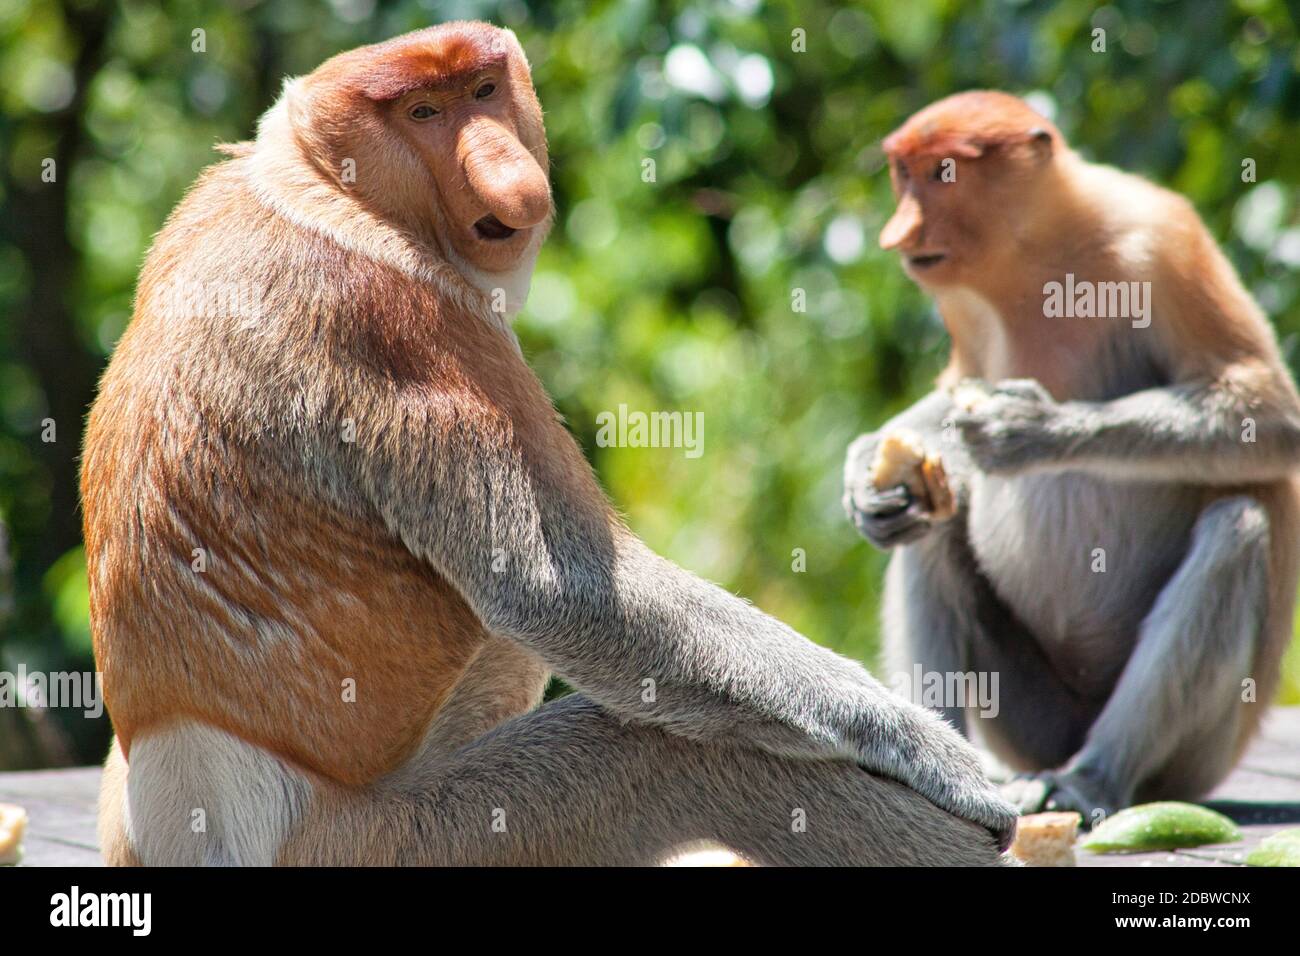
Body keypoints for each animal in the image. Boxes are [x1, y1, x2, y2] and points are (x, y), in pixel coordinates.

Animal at [82, 24, 1017, 867]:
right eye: (423, 112)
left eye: (483, 91)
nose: (505, 167)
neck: (313, 184)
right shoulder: (405, 320)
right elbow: (560, 592)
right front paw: (934, 754)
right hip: (382, 843)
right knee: (673, 755)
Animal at [844, 90, 1300, 821]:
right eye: (901, 173)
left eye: (943, 173)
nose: (898, 235)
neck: (1036, 249)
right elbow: (956, 389)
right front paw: (867, 479)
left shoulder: (1164, 240)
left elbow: (1264, 408)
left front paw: (1028, 428)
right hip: (1030, 720)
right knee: (932, 534)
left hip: (1199, 752)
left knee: (1238, 529)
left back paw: (1088, 779)